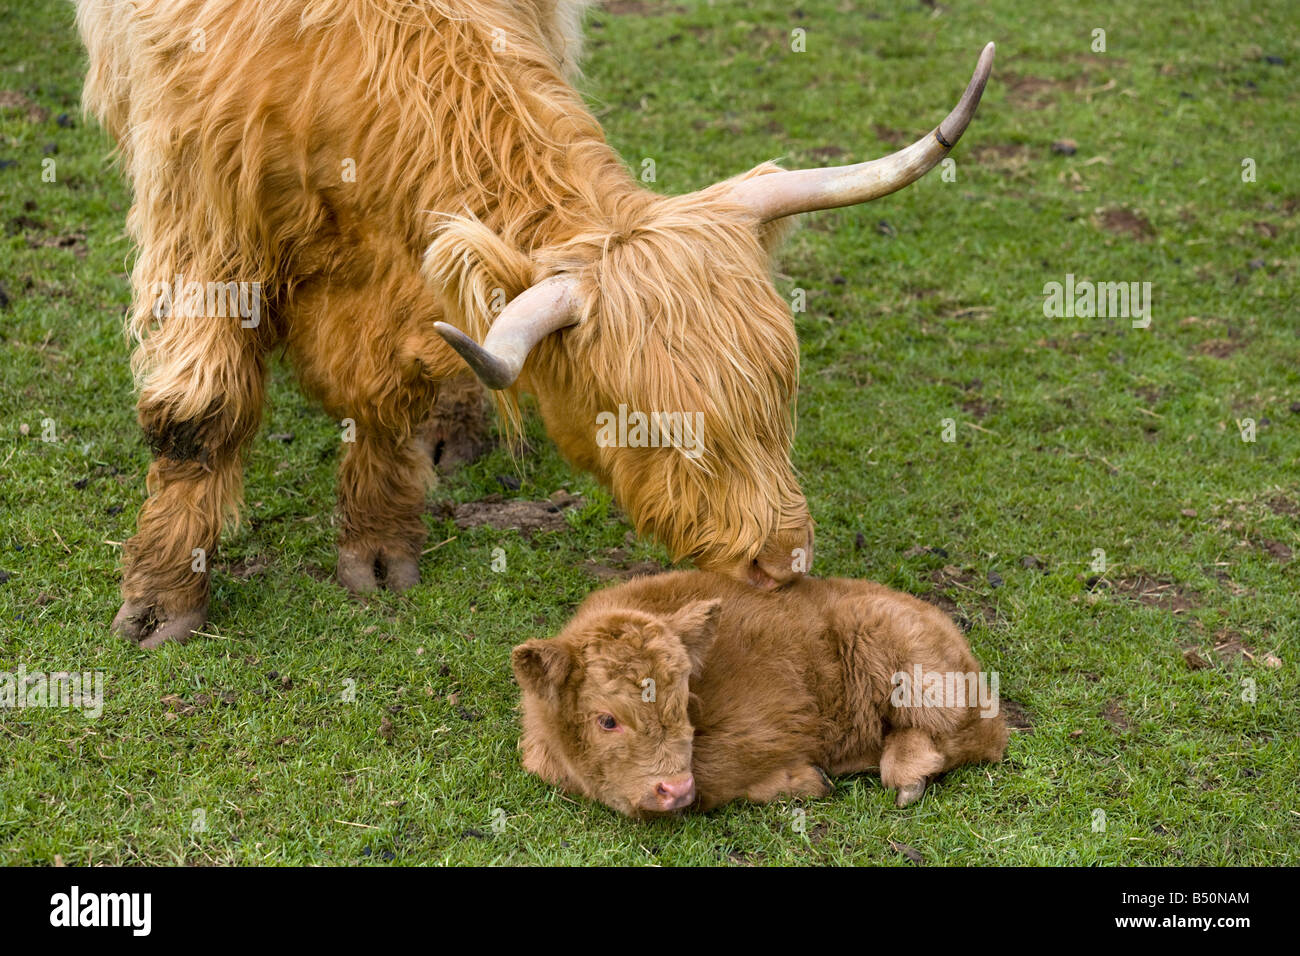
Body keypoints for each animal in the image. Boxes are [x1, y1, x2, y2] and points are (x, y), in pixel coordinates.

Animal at [76, 0, 993, 647]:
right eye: (653, 426)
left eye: (780, 396)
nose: (782, 562)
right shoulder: (202, 223)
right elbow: (200, 415)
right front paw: (160, 604)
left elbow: (393, 391)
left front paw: (377, 552)